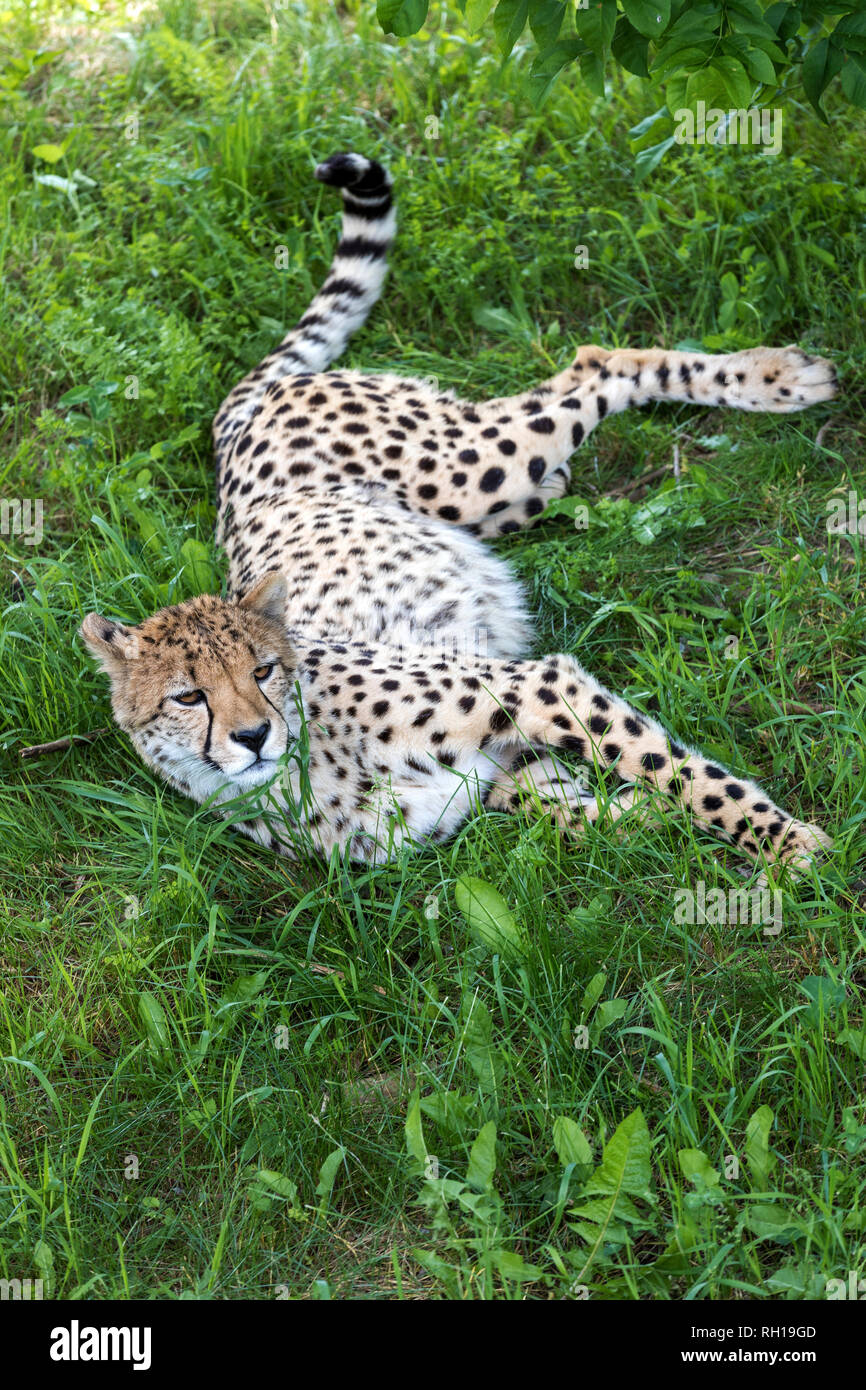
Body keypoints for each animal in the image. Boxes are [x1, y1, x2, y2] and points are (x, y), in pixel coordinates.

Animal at [81, 152, 837, 874]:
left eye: (263, 671)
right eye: (187, 697)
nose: (253, 735)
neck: (297, 772)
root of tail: (230, 427)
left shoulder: (533, 686)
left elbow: (676, 773)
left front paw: (788, 845)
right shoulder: (500, 773)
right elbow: (597, 815)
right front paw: (668, 829)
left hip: (473, 470)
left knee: (596, 363)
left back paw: (782, 378)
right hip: (489, 496)